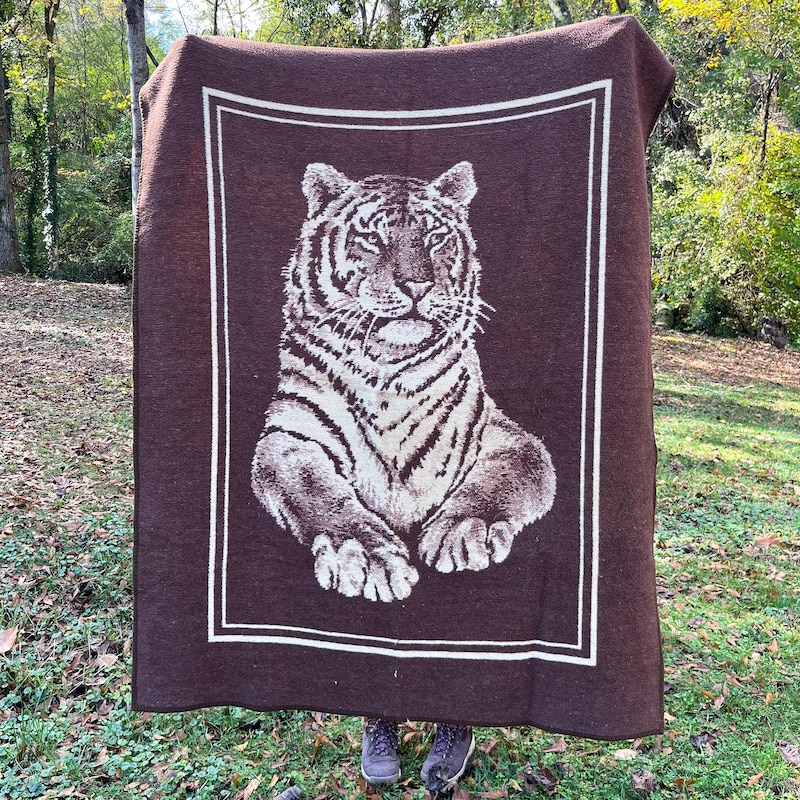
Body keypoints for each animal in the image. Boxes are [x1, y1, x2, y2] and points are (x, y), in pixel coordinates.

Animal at [251, 161, 556, 602]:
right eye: (373, 239)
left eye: (435, 238)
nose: (417, 285)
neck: (388, 372)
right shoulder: (290, 436)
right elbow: (318, 493)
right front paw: (364, 555)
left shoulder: (505, 435)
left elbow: (498, 482)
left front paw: (463, 531)